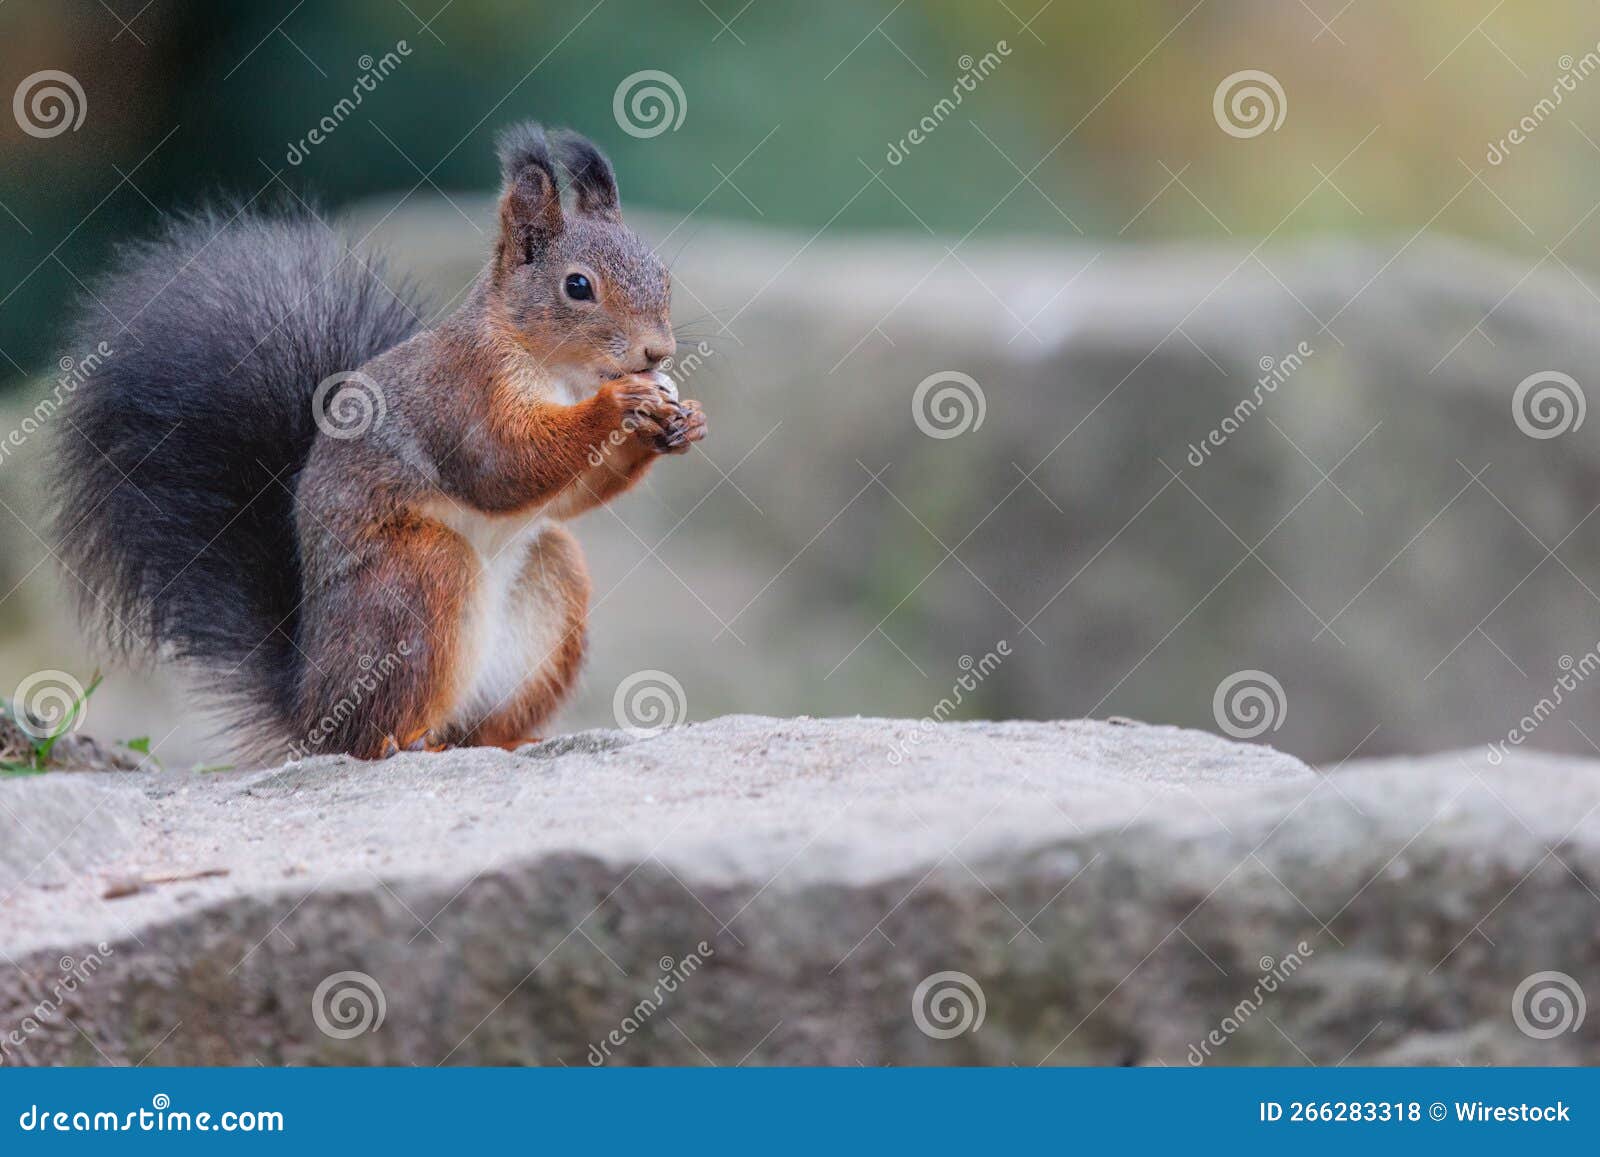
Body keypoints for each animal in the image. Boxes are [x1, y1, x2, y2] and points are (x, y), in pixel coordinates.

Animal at [51, 122, 707, 761]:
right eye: (577, 286)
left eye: (663, 274)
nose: (657, 352)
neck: (559, 372)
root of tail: (308, 709)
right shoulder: (461, 397)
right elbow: (503, 466)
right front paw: (616, 406)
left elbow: (569, 495)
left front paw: (684, 423)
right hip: (416, 578)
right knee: (368, 734)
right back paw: (409, 742)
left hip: (550, 581)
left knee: (477, 726)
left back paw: (509, 740)